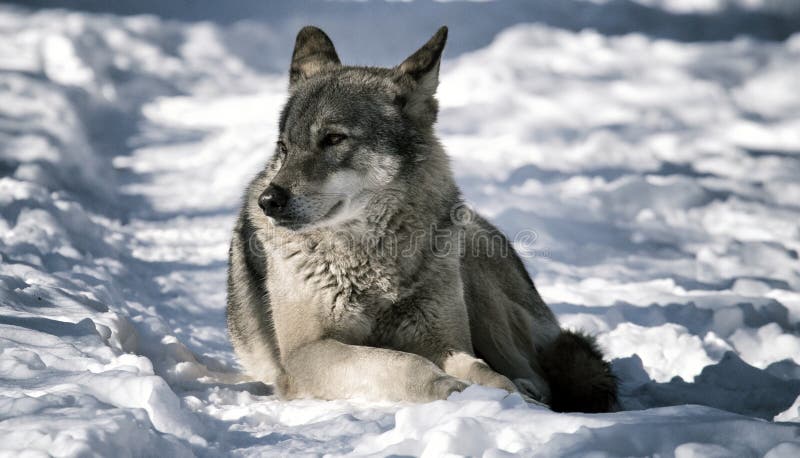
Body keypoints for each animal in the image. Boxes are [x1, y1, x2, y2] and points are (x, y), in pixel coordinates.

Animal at [227, 25, 617, 412]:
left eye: (334, 139)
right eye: (284, 148)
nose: (268, 201)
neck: (372, 265)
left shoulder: (444, 341)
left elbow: (483, 369)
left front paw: (501, 396)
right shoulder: (305, 353)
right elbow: (403, 362)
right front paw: (451, 390)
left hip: (476, 275)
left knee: (537, 376)